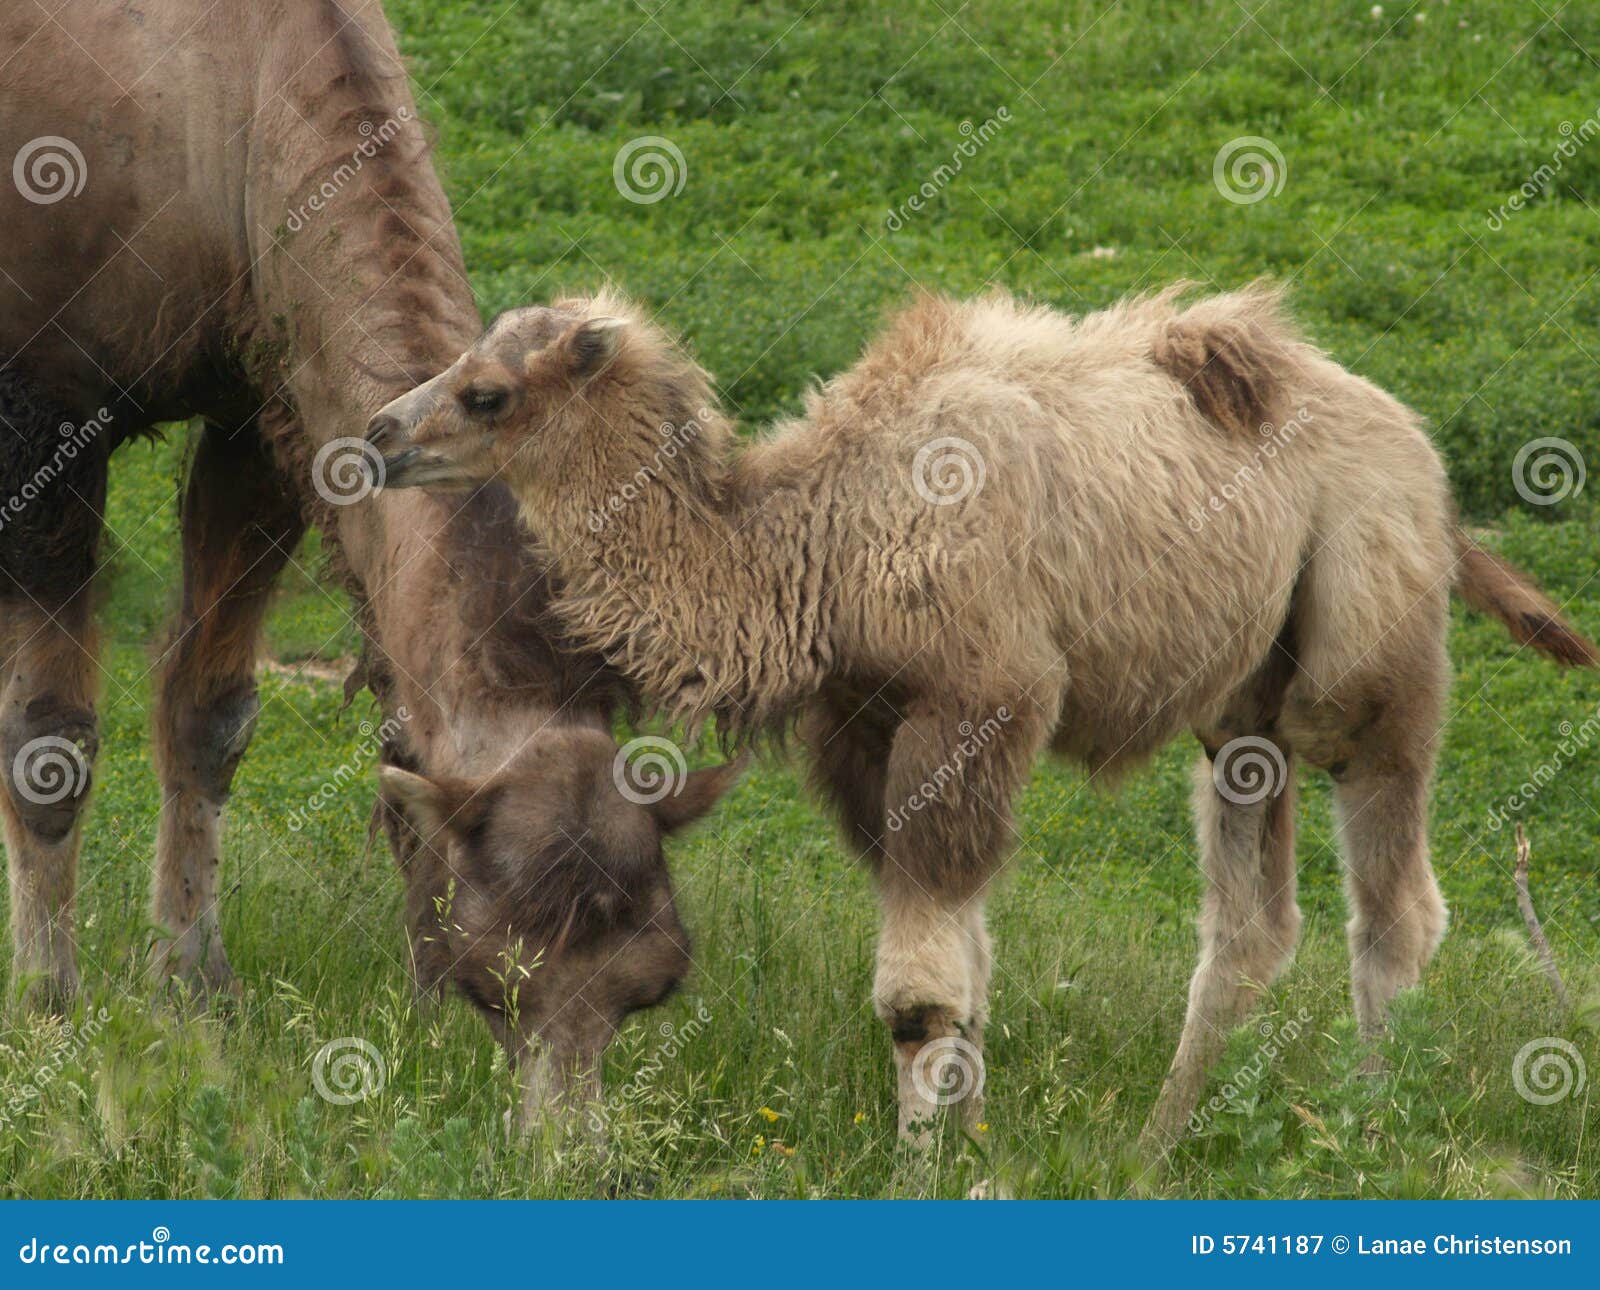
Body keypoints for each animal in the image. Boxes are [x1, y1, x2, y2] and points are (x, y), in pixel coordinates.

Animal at [0, 1, 718, 1118]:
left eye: (651, 982)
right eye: (495, 976)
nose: (568, 1135)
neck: (223, 101)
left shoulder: (256, 402)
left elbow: (208, 714)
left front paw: (196, 991)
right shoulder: (42, 407)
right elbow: (49, 742)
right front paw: (48, 1010)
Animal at [370, 284, 1596, 1146]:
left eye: (487, 393)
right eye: (462, 365)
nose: (379, 431)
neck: (824, 543)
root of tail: (1428, 465)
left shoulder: (980, 696)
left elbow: (919, 996)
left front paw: (922, 1168)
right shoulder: (862, 726)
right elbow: (961, 967)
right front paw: (965, 1142)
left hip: (1368, 646)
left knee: (1394, 908)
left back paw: (1368, 1132)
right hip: (1240, 705)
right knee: (1252, 923)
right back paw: (1153, 1151)